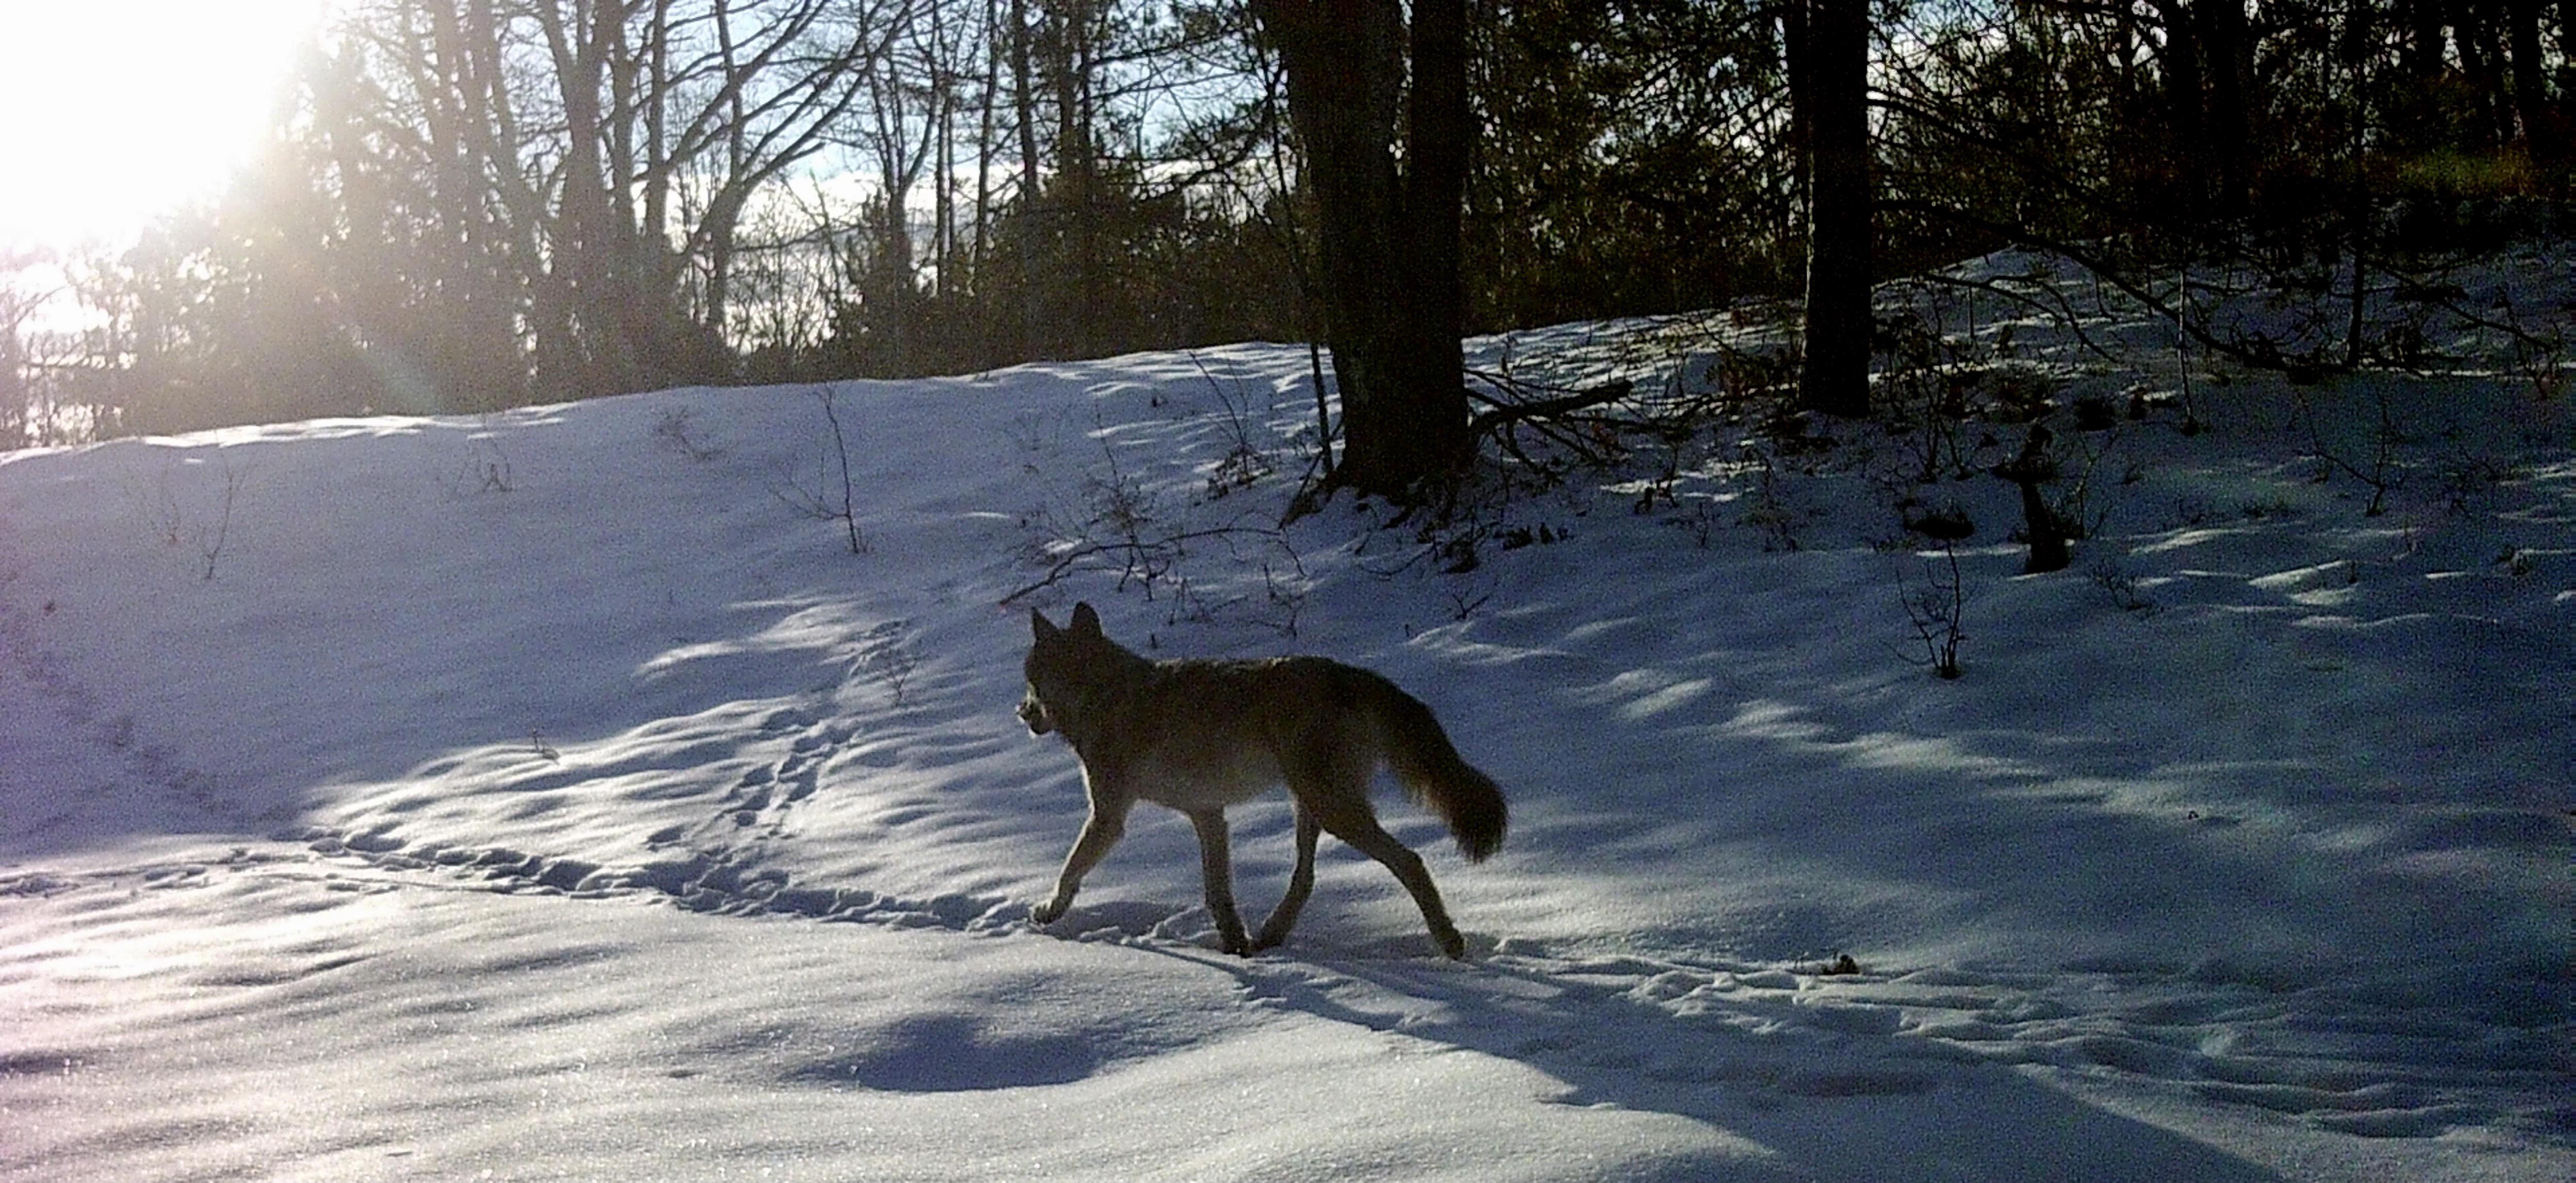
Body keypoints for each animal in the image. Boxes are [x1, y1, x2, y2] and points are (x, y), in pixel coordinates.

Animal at [1018, 602, 1506, 959]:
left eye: (1029, 680)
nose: (1021, 712)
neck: (1101, 694)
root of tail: (1345, 672)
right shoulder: (1208, 815)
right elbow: (1219, 894)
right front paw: (1236, 947)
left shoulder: (1108, 818)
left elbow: (1070, 870)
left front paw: (1048, 911)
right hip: (1310, 806)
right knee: (1306, 878)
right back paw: (1270, 934)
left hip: (1331, 809)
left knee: (1411, 861)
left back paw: (1449, 941)